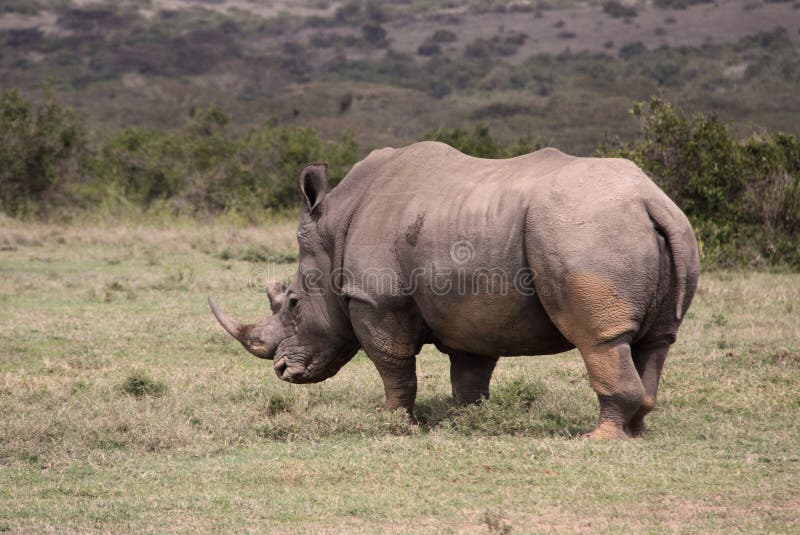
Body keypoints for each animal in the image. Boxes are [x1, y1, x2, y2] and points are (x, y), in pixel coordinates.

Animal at [209, 142, 699, 439]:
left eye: (293, 303)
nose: (282, 371)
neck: (335, 228)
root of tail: (650, 200)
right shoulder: (472, 308)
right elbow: (469, 374)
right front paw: (466, 420)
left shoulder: (375, 299)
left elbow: (393, 366)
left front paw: (394, 423)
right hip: (665, 229)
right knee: (657, 341)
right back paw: (637, 431)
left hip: (582, 230)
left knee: (599, 339)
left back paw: (597, 439)